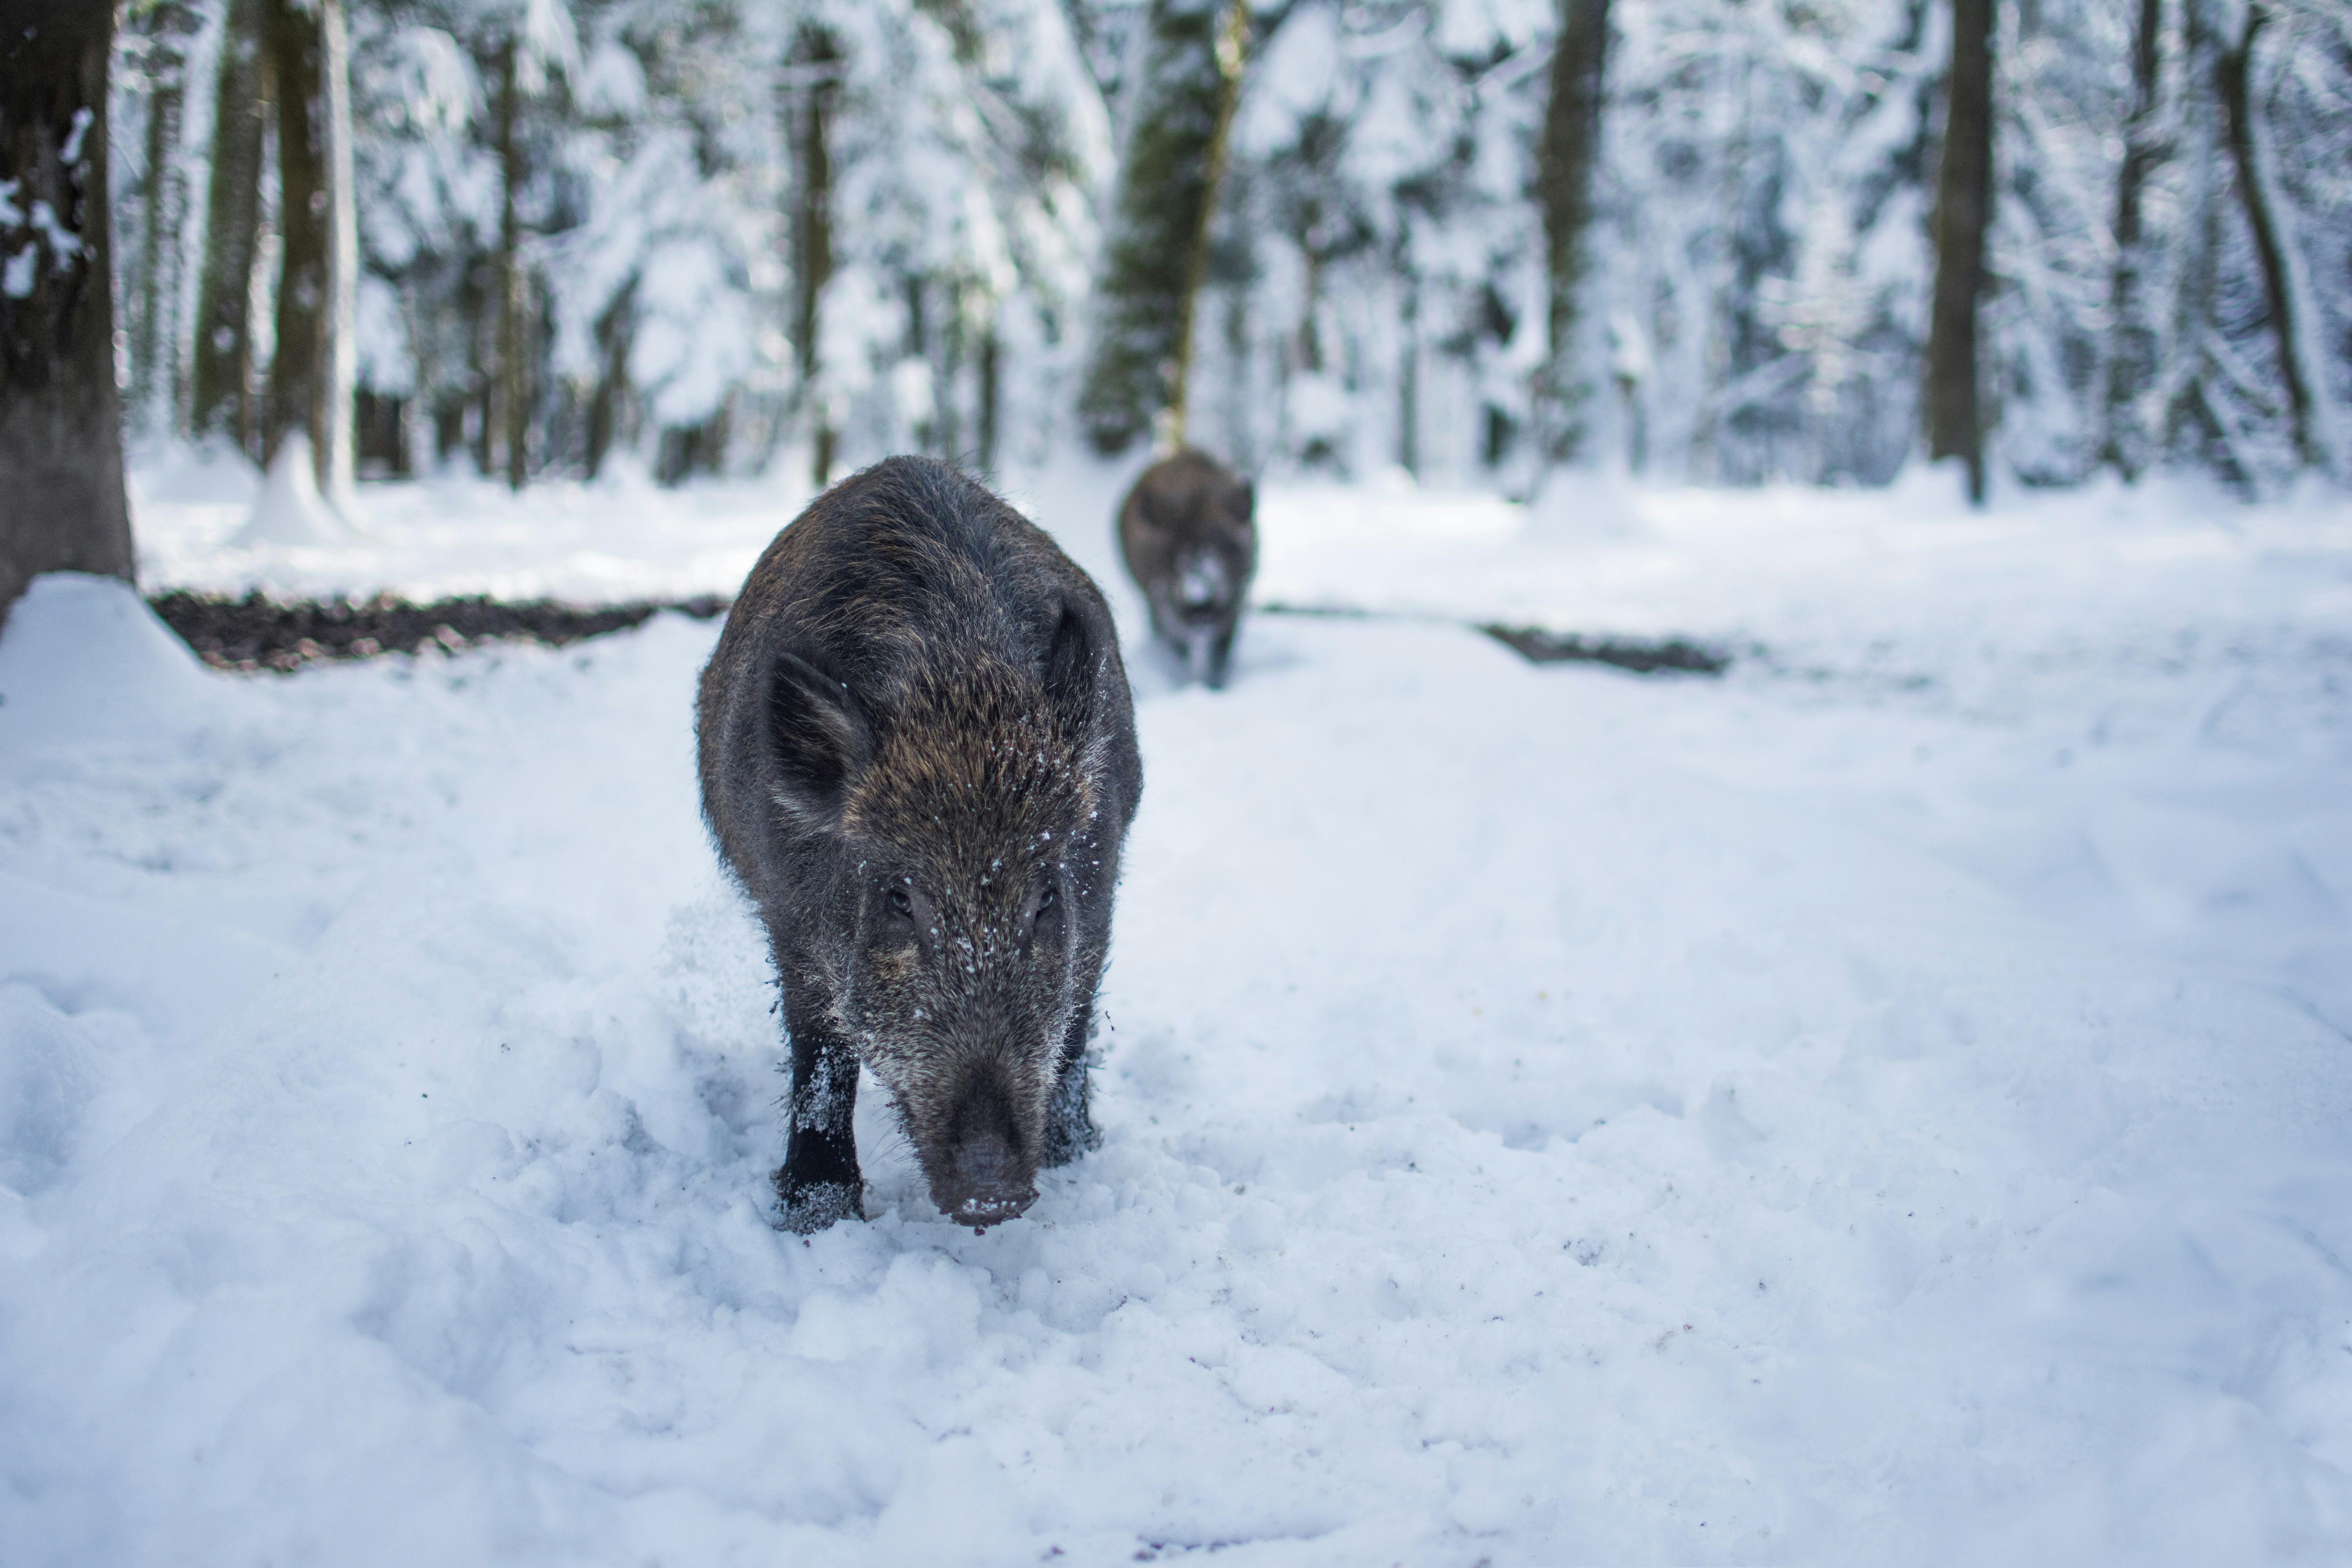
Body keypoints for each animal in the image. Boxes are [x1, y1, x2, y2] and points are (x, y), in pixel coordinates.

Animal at [697, 456, 1142, 1233]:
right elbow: (821, 1055)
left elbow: (1074, 1022)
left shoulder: (1097, 894)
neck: (954, 688)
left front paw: (1072, 1159)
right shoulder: (790, 918)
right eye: (899, 898)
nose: (991, 1191)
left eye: (1045, 898)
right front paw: (815, 1219)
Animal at [1117, 448, 1257, 689]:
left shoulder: (1232, 613)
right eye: (1176, 555)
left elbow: (1219, 660)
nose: (1199, 597)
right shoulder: (1164, 609)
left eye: (1220, 549)